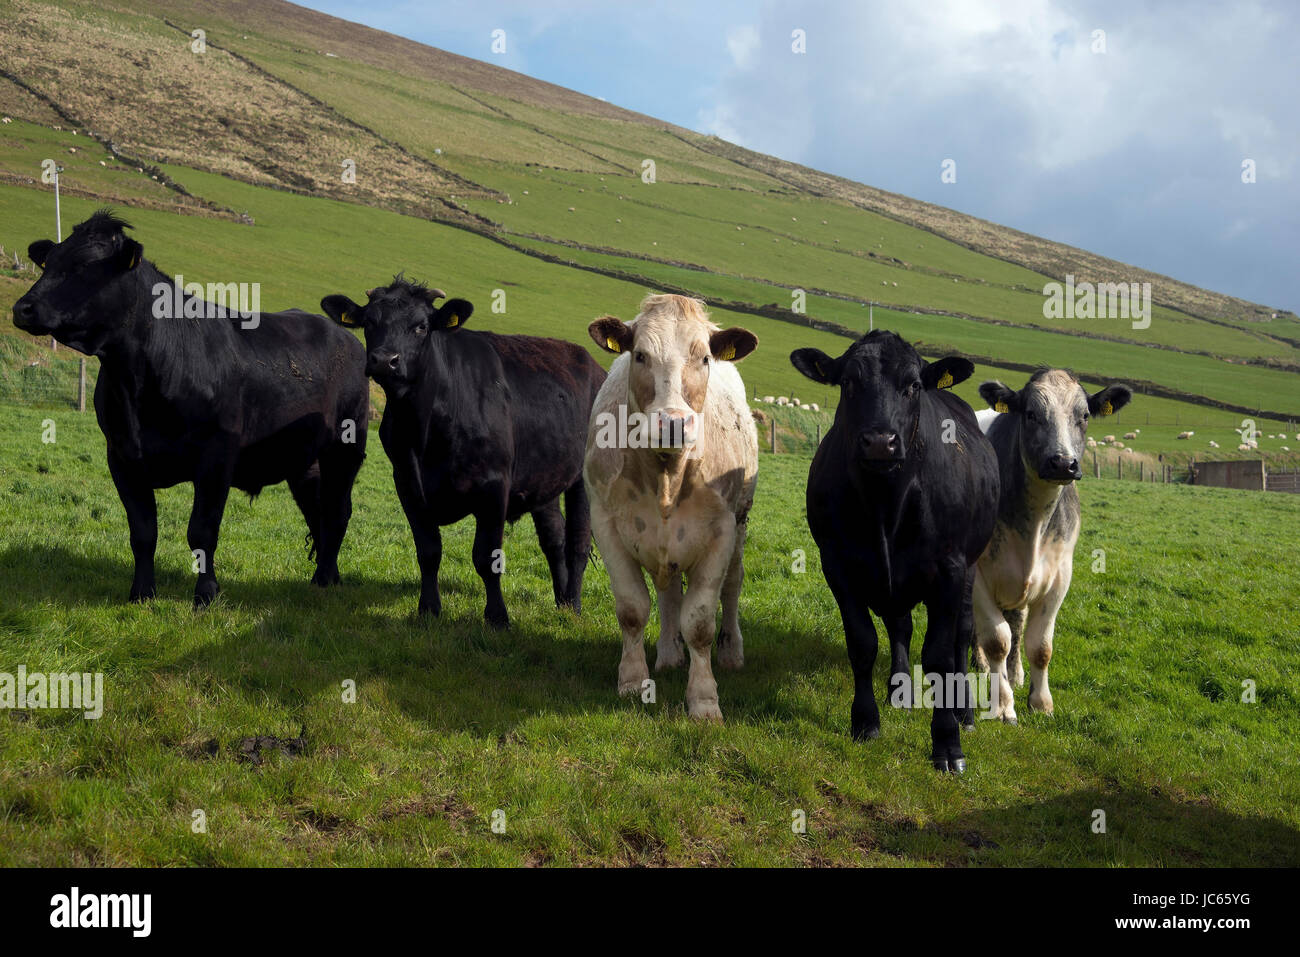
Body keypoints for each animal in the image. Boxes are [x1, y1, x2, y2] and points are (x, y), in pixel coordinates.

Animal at [12, 211, 368, 606]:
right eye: (50, 261)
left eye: (86, 266)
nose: (23, 308)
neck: (140, 379)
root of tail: (343, 335)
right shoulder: (122, 456)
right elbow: (143, 531)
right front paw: (141, 593)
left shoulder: (216, 456)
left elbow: (202, 531)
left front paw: (206, 594)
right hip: (303, 461)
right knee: (316, 511)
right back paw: (326, 577)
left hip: (345, 449)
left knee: (337, 512)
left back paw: (325, 578)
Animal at [321, 276, 604, 627]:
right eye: (370, 322)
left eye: (421, 326)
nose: (384, 359)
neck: (427, 428)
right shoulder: (407, 483)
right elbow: (428, 551)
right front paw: (429, 608)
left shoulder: (494, 486)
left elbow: (486, 557)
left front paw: (497, 617)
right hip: (545, 476)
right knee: (554, 538)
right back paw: (562, 601)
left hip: (583, 479)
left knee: (577, 543)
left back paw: (574, 606)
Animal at [583, 294, 758, 720]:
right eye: (640, 355)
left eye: (705, 358)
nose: (673, 424)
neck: (666, 473)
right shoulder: (606, 523)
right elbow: (633, 609)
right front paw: (633, 681)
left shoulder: (721, 532)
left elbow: (700, 622)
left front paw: (704, 700)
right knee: (668, 596)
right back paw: (667, 655)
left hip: (740, 526)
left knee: (732, 585)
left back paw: (732, 653)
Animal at [791, 330, 998, 772]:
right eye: (848, 382)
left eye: (914, 385)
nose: (880, 442)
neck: (885, 502)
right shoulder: (838, 564)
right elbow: (863, 643)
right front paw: (865, 722)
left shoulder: (949, 568)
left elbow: (939, 656)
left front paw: (947, 743)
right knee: (900, 625)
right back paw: (899, 691)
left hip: (971, 566)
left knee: (962, 634)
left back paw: (965, 713)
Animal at [973, 369, 1132, 723]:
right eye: (1031, 414)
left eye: (1084, 416)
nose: (1062, 463)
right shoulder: (976, 574)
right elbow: (996, 640)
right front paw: (1003, 704)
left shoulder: (1059, 576)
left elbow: (1040, 645)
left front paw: (1040, 702)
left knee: (1017, 624)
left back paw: (1015, 674)